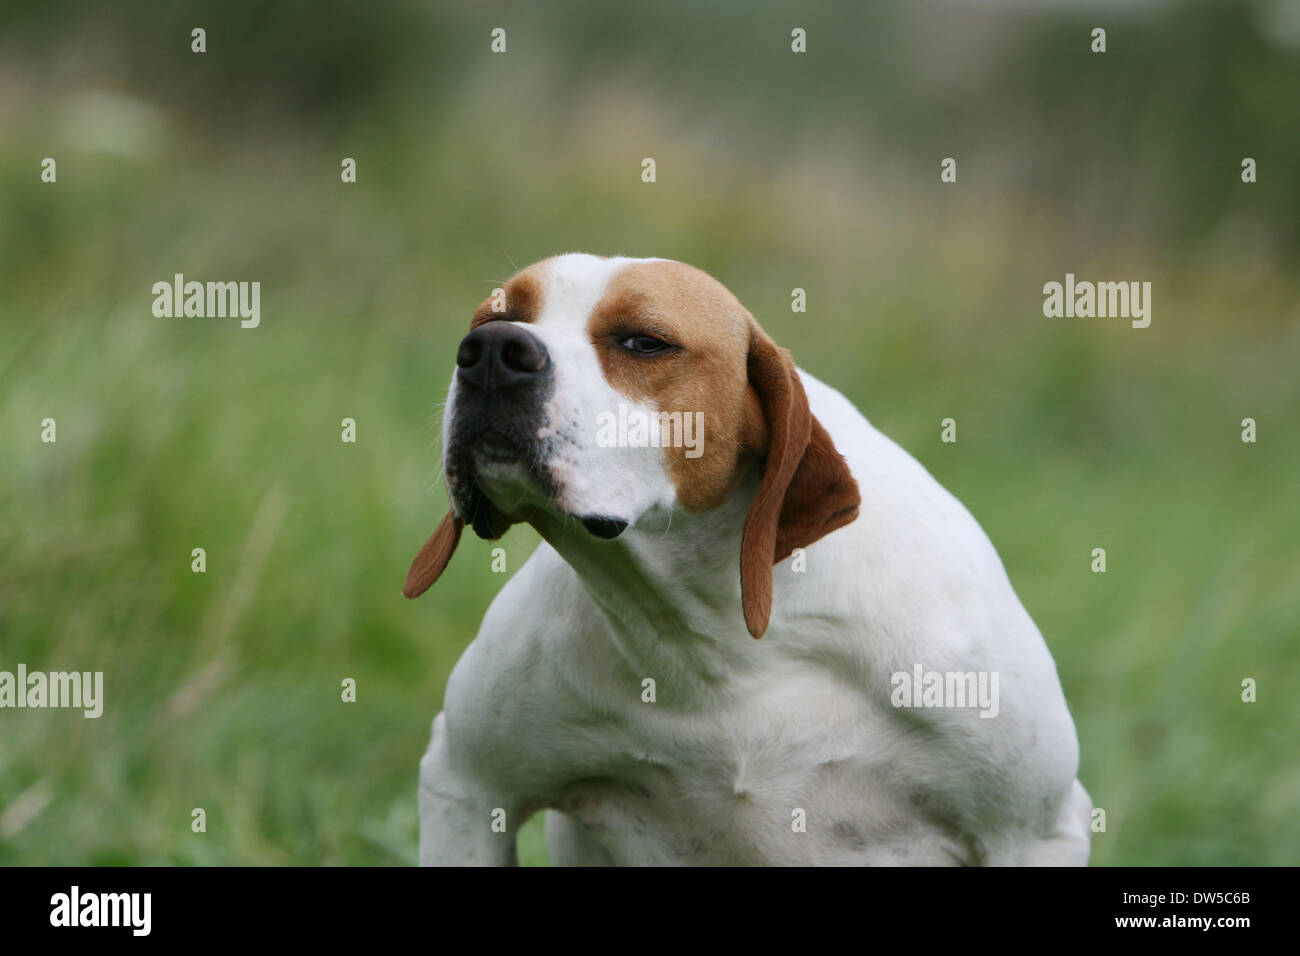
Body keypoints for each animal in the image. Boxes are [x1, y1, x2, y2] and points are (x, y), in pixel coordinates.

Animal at [400, 254, 1092, 868]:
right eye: (496, 317)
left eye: (644, 342)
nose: (491, 351)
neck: (720, 642)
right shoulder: (465, 785)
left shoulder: (1035, 831)